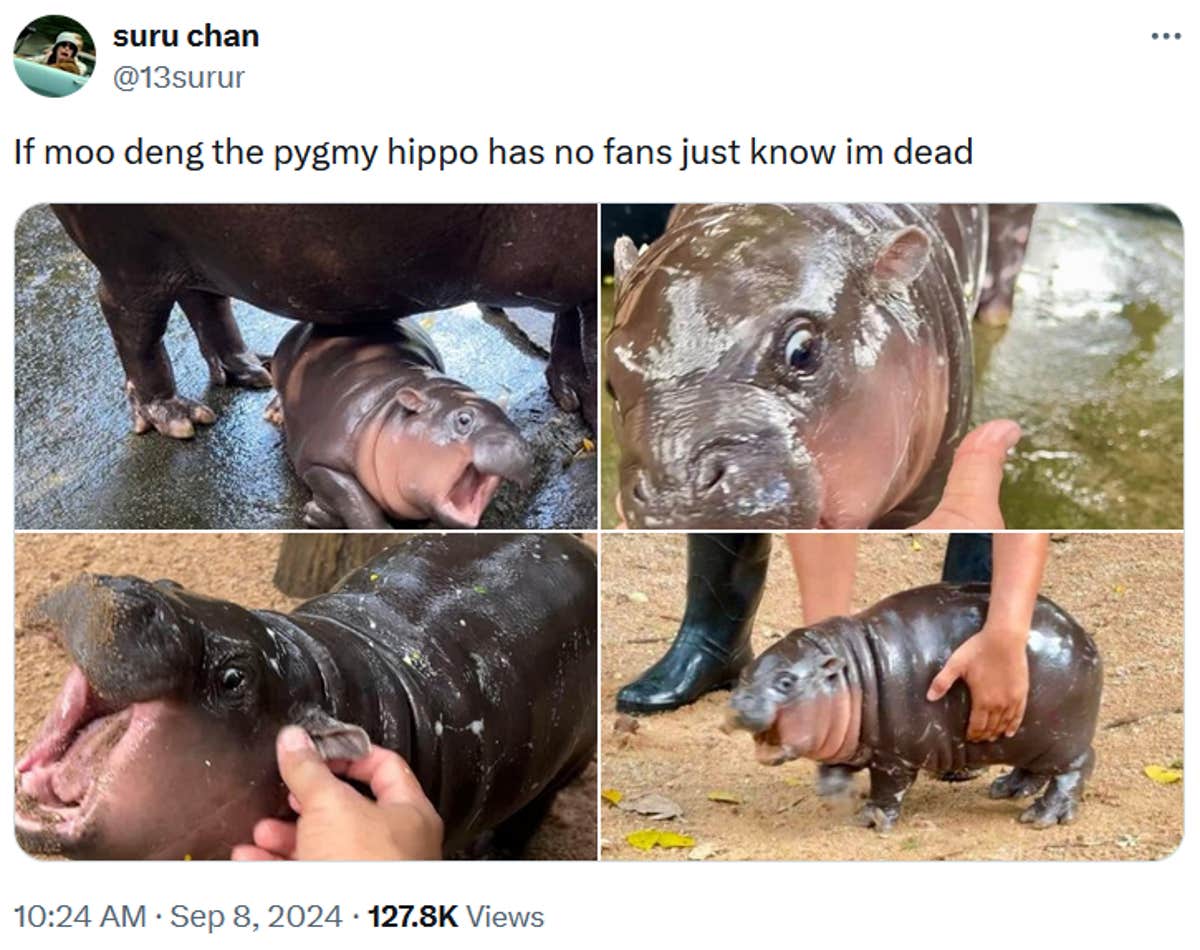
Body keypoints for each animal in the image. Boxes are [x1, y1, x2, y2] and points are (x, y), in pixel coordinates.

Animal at [15, 534, 597, 859]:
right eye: (167, 579)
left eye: (234, 679)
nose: (119, 584)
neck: (318, 668)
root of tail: (581, 549)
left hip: (562, 768)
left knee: (531, 811)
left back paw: (491, 853)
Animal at [51, 204, 597, 438]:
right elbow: (589, 335)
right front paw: (590, 407)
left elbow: (571, 323)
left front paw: (570, 394)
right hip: (130, 257)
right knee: (130, 321)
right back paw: (177, 418)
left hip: (194, 254)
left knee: (203, 298)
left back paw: (250, 371)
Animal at [266, 319, 532, 529]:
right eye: (464, 419)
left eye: (511, 421)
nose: (520, 448)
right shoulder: (319, 461)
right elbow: (356, 500)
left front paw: (317, 513)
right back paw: (274, 414)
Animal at [728, 582, 1101, 830]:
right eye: (744, 673)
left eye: (786, 682)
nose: (738, 704)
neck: (853, 673)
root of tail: (1085, 638)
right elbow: (834, 768)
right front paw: (836, 794)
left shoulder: (894, 757)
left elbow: (888, 788)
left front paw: (872, 819)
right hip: (1031, 739)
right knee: (1035, 770)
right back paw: (1006, 789)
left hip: (1062, 739)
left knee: (1076, 767)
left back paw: (1041, 817)